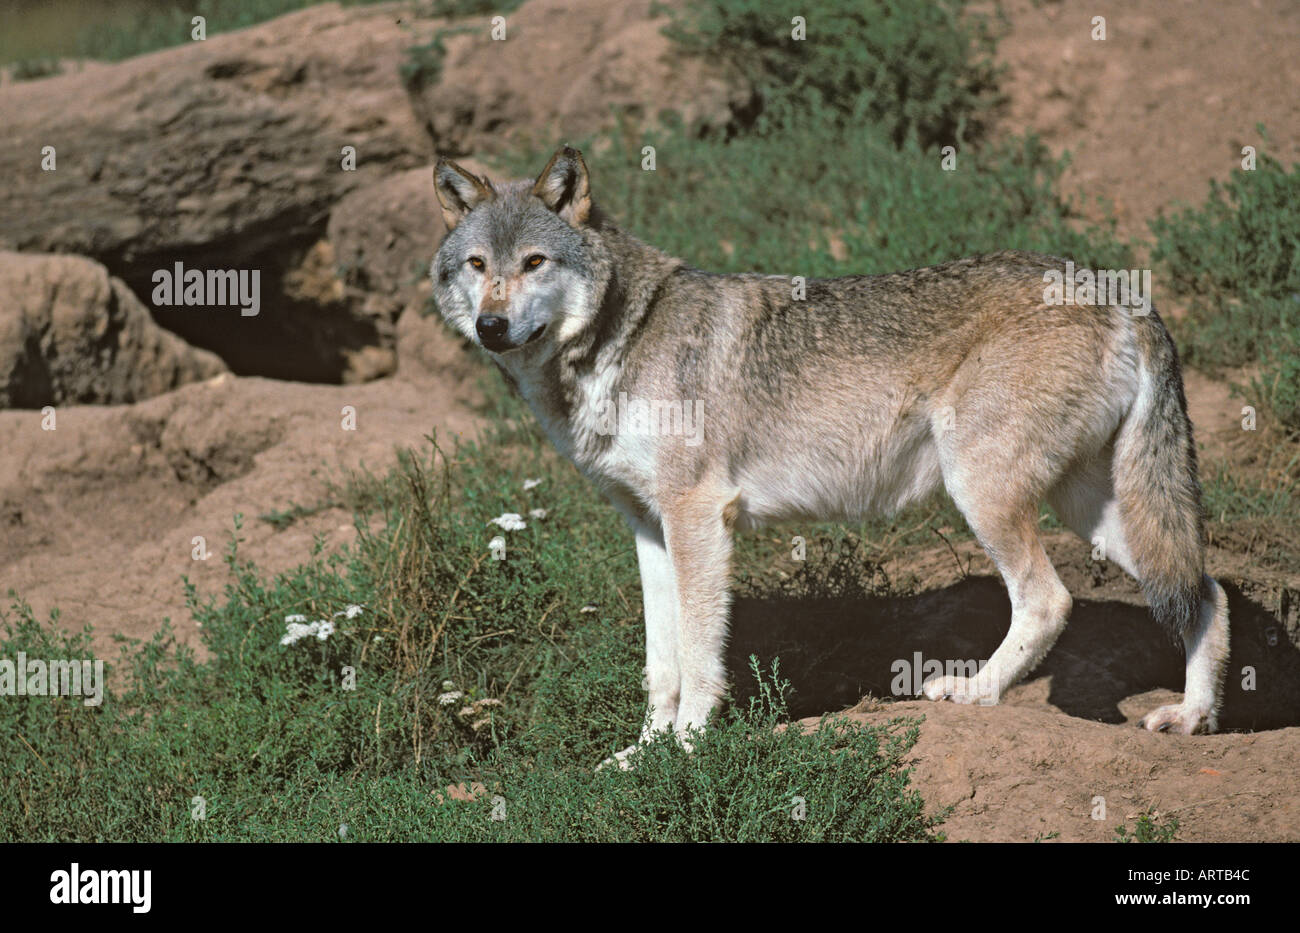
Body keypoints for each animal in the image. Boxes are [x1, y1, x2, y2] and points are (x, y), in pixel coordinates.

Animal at [430, 145, 1231, 766]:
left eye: (535, 261)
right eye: (477, 264)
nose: (492, 326)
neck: (617, 340)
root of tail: (1120, 290)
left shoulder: (698, 517)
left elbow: (699, 657)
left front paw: (687, 747)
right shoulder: (649, 528)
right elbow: (660, 664)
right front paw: (642, 755)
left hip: (984, 493)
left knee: (1050, 599)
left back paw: (975, 691)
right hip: (1092, 509)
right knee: (1206, 589)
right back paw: (1193, 717)